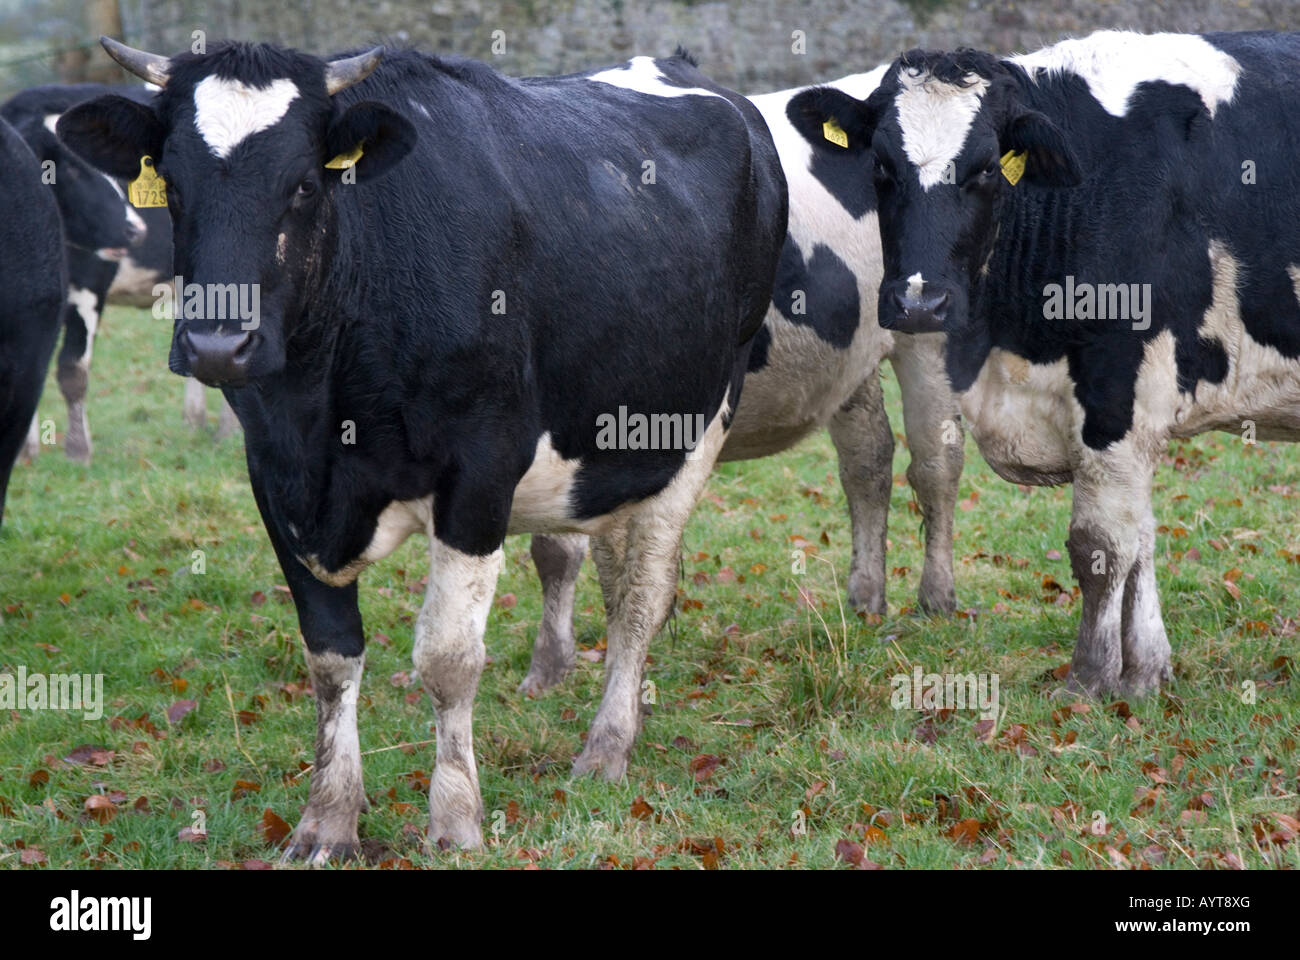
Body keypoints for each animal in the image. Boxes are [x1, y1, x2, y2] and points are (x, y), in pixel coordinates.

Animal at [60, 37, 786, 857]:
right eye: (173, 186)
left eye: (305, 184)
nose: (218, 344)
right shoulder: (275, 477)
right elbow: (330, 656)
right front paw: (327, 819)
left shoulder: (481, 469)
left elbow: (447, 659)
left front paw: (456, 819)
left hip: (701, 424)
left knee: (642, 599)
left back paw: (605, 748)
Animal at [519, 67, 965, 697]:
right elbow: (555, 545)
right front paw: (549, 668)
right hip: (849, 357)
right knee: (868, 459)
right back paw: (865, 597)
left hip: (926, 329)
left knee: (934, 463)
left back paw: (936, 599)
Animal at [789, 30, 1300, 697]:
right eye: (880, 164)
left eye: (986, 168)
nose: (919, 301)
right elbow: (1141, 536)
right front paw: (1146, 673)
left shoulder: (1117, 387)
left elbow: (1100, 545)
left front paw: (1089, 678)